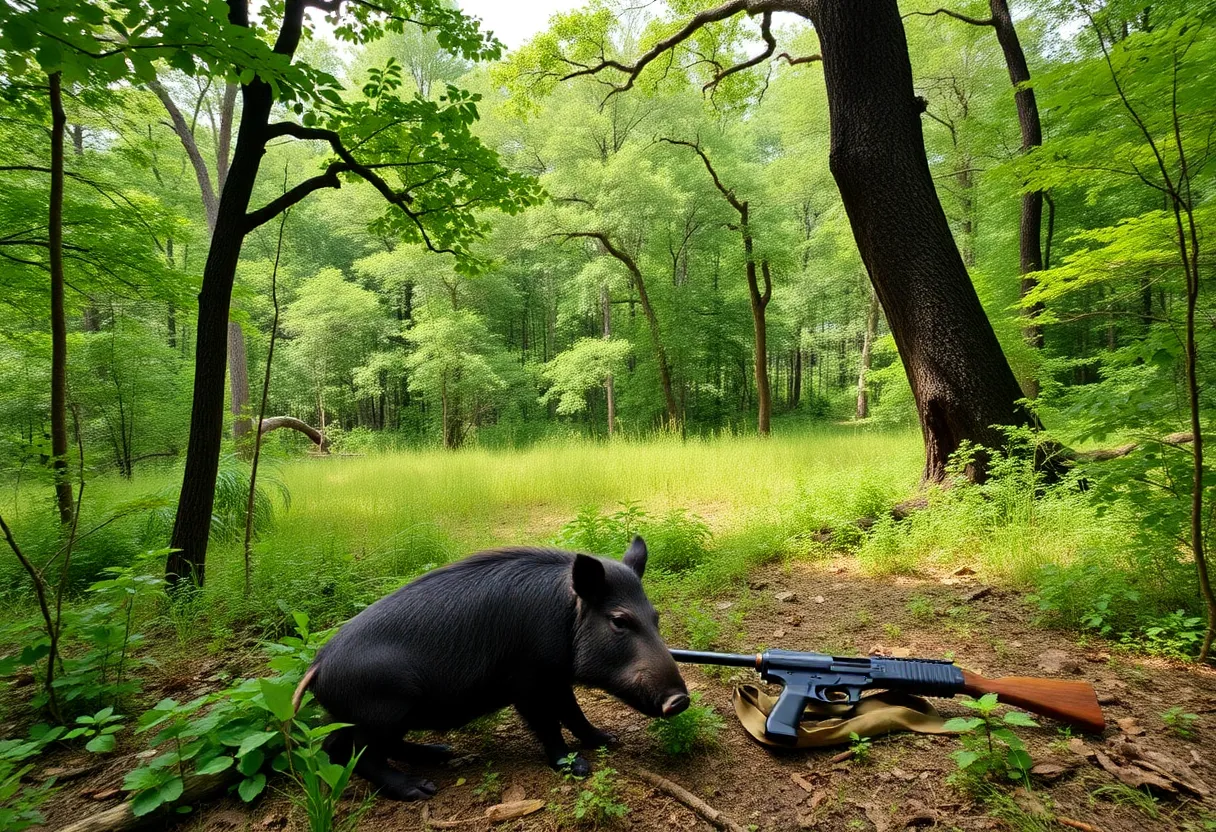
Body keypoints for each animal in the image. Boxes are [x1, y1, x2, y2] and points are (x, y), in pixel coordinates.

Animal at [293, 536, 689, 801]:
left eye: (655, 618)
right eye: (619, 621)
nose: (680, 700)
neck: (565, 614)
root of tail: (317, 665)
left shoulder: (557, 678)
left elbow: (573, 713)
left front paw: (608, 740)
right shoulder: (526, 681)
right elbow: (548, 724)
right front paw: (577, 768)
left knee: (340, 746)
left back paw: (442, 753)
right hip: (384, 708)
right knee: (359, 754)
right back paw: (422, 789)